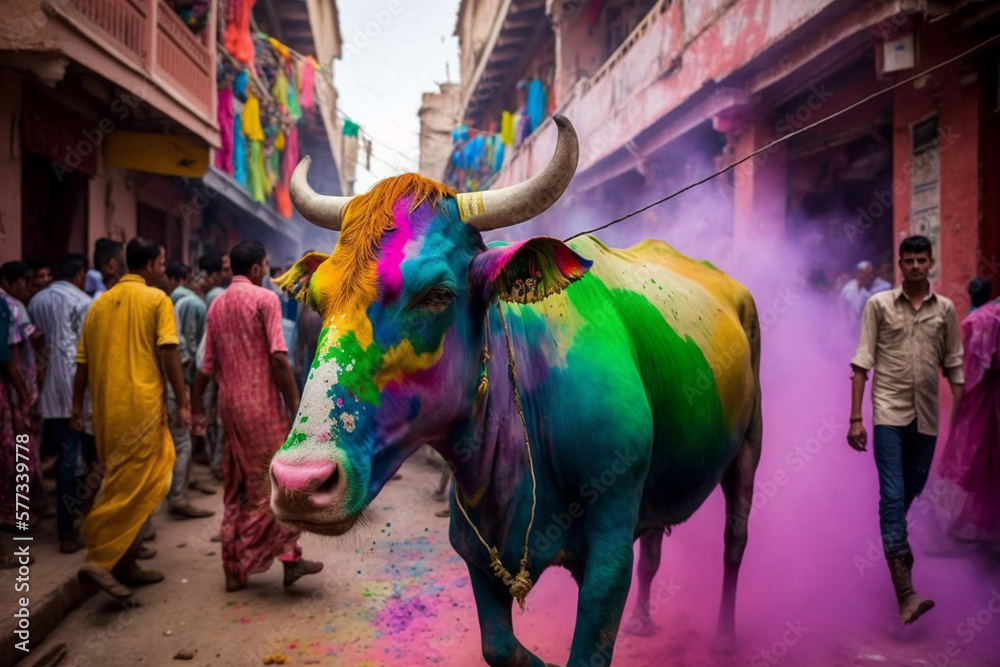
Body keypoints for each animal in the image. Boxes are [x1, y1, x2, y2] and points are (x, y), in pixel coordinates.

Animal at [268, 116, 762, 667]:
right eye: (317, 299)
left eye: (439, 293)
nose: (299, 483)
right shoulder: (474, 548)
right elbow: (499, 647)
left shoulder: (609, 556)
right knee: (656, 542)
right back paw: (643, 618)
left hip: (749, 447)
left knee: (735, 538)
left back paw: (725, 637)